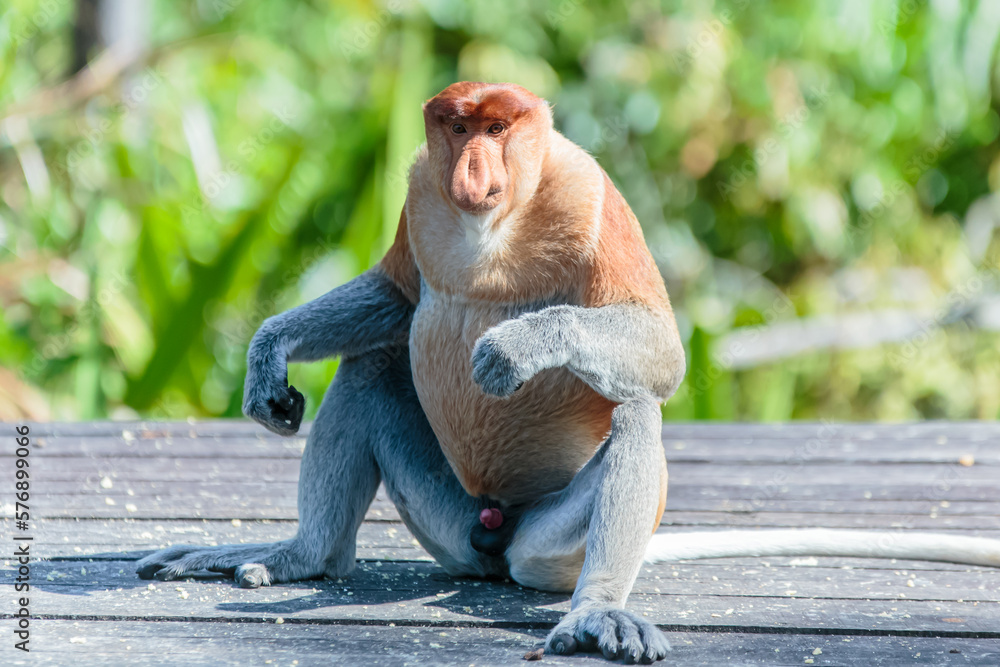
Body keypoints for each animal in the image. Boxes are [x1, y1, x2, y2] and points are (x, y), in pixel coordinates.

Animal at [137, 82, 1000, 664]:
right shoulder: (417, 188)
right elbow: (396, 295)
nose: (473, 169)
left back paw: (597, 611)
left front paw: (513, 347)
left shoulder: (592, 193)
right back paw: (306, 554)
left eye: (497, 127)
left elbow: (659, 348)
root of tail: (496, 534)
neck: (494, 226)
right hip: (446, 519)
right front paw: (268, 358)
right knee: (372, 365)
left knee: (636, 411)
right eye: (456, 127)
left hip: (549, 544)